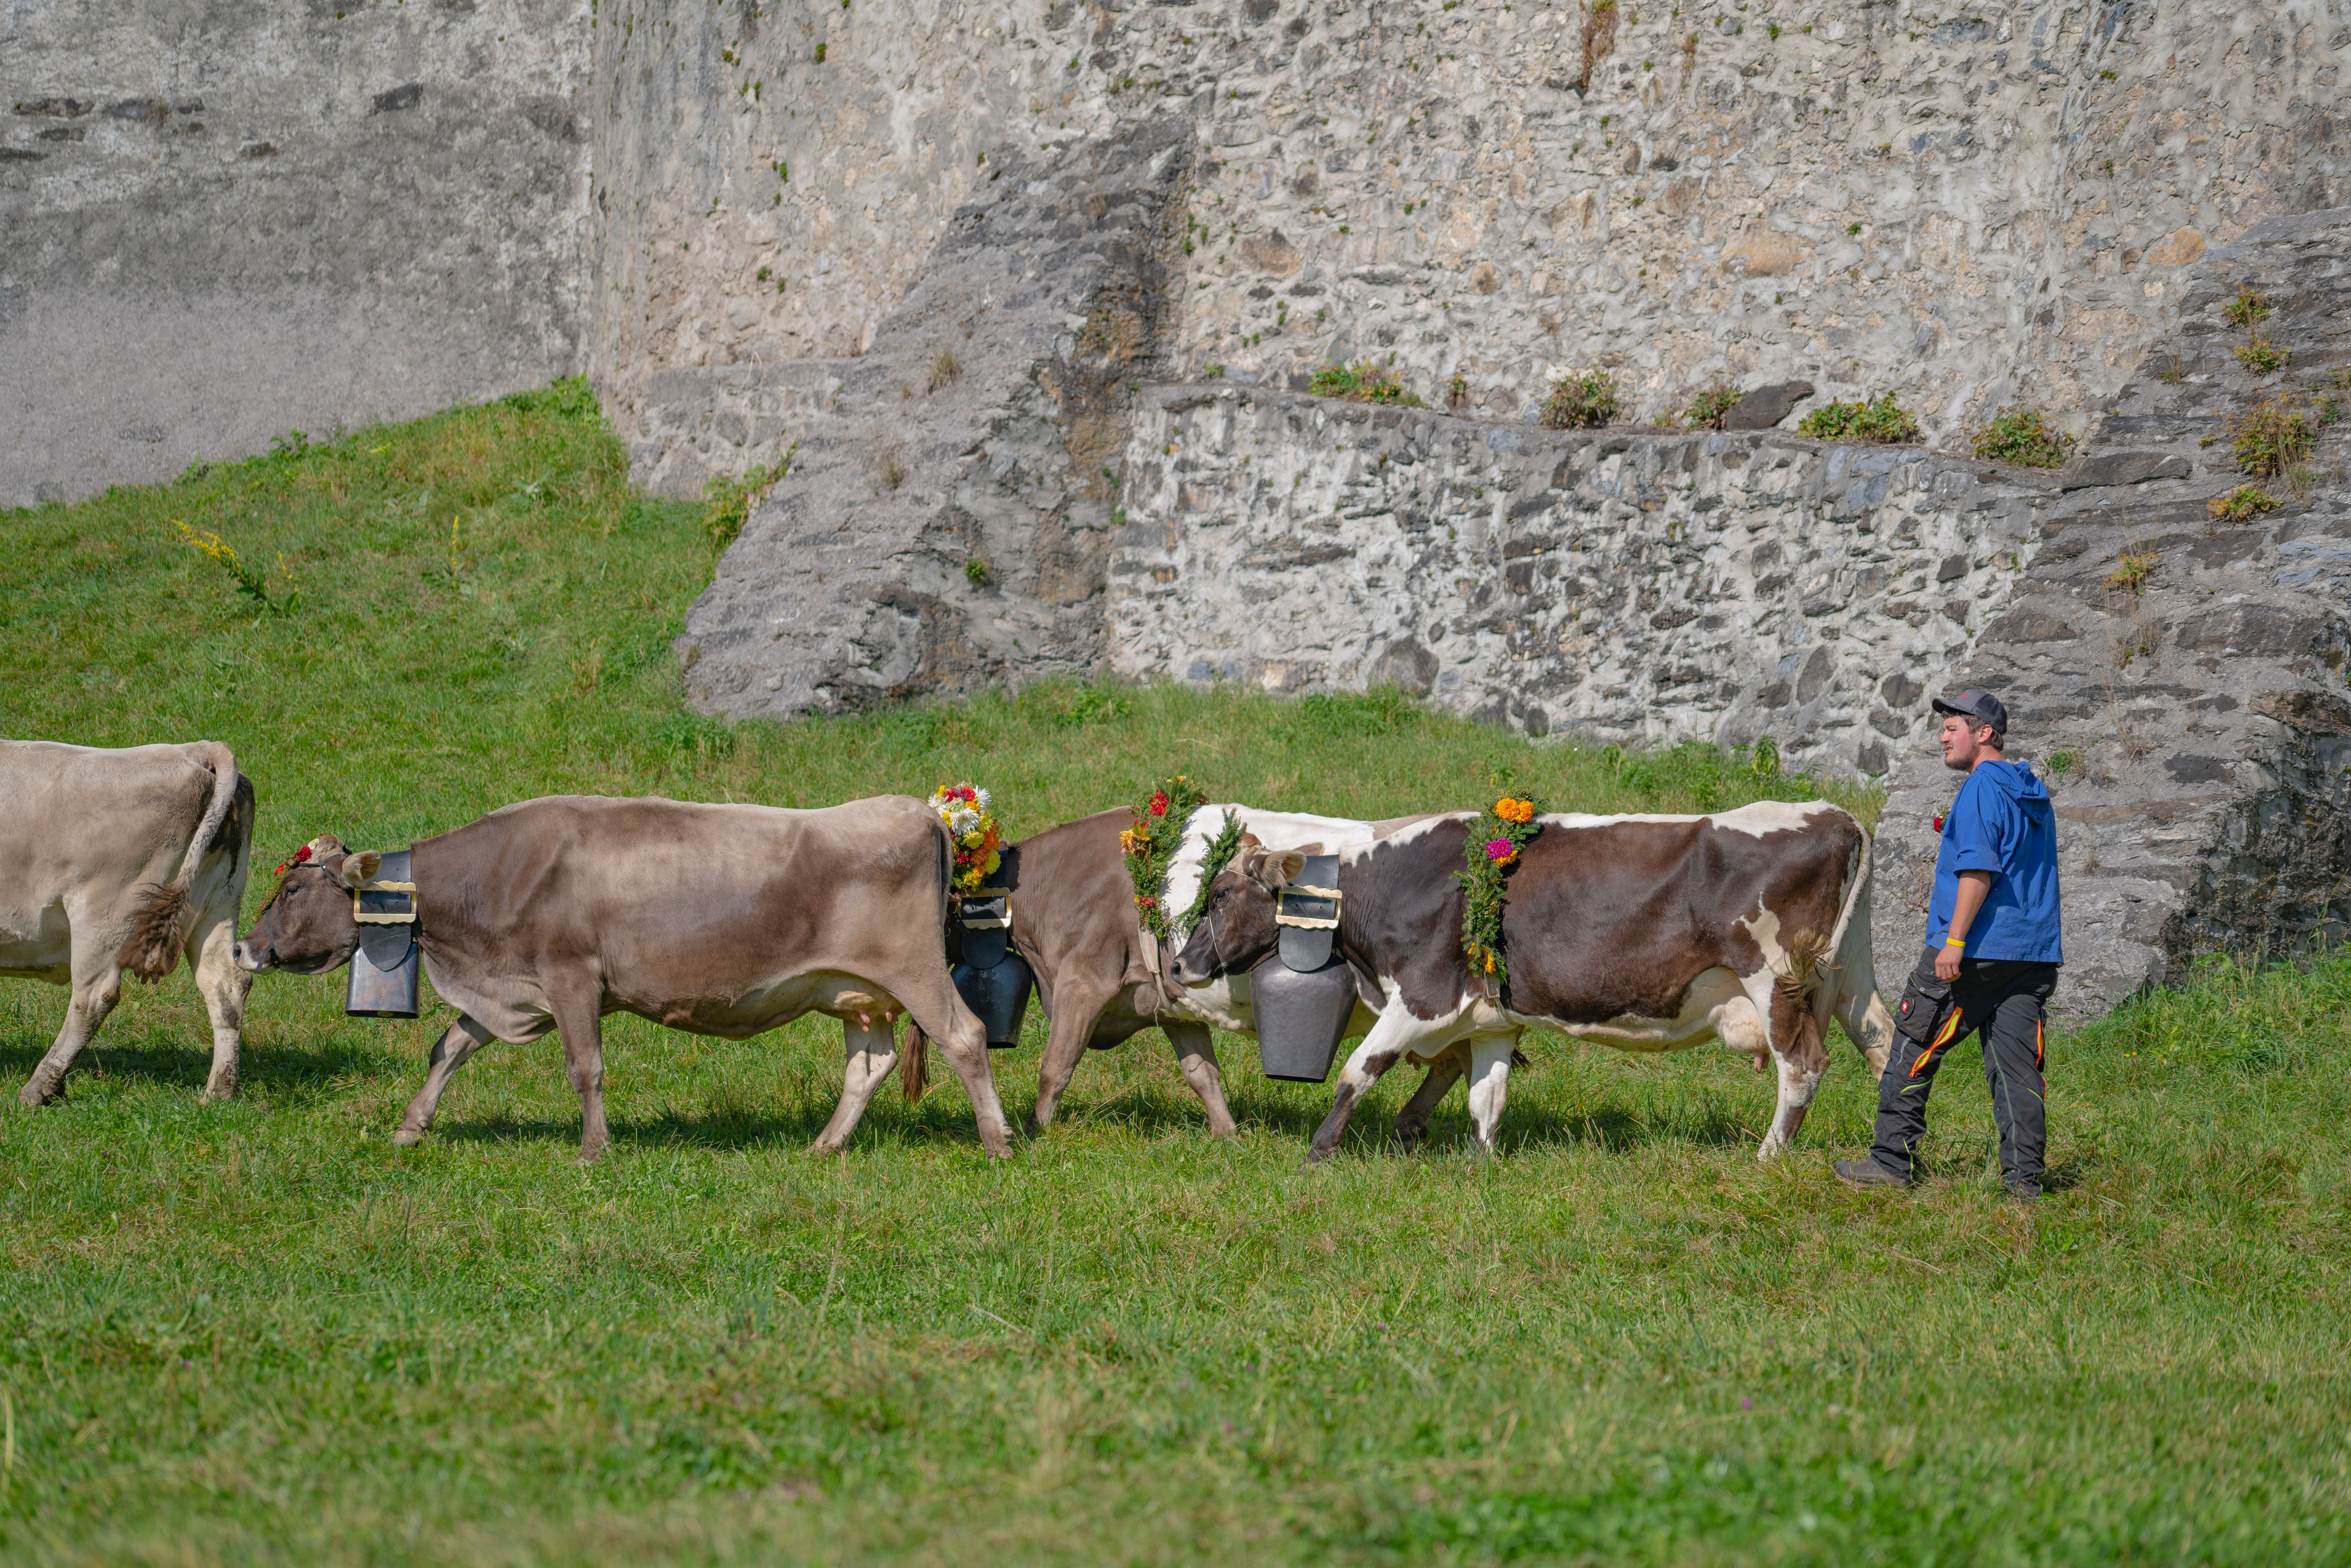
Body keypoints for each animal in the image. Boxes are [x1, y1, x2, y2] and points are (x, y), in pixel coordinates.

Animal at [2, 740, 254, 1106]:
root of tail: (196, 749)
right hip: (219, 900)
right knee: (226, 985)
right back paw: (219, 1093)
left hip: (103, 914)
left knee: (94, 998)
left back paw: (40, 1087)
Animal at [232, 794, 1012, 1160]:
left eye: (293, 889)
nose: (245, 947)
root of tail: (912, 810)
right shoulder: (508, 989)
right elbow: (447, 1049)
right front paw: (410, 1128)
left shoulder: (571, 975)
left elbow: (586, 1066)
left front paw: (592, 1148)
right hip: (856, 993)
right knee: (870, 1064)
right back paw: (825, 1143)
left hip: (913, 968)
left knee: (965, 1036)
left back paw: (998, 1140)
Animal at [902, 805, 1409, 1136]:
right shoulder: (1171, 1002)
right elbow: (1203, 1073)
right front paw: (1227, 1135)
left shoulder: (1082, 982)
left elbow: (1056, 1066)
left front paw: (1034, 1132)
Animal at [1169, 801, 1897, 1162]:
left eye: (1222, 893)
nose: (1178, 965)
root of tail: (1834, 813)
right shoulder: (1489, 1017)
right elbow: (1484, 1098)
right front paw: (1482, 1164)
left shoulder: (1424, 998)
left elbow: (1359, 1069)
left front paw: (1319, 1151)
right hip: (1850, 976)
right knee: (1886, 1045)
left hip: (1777, 981)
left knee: (1802, 1064)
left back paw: (1769, 1156)